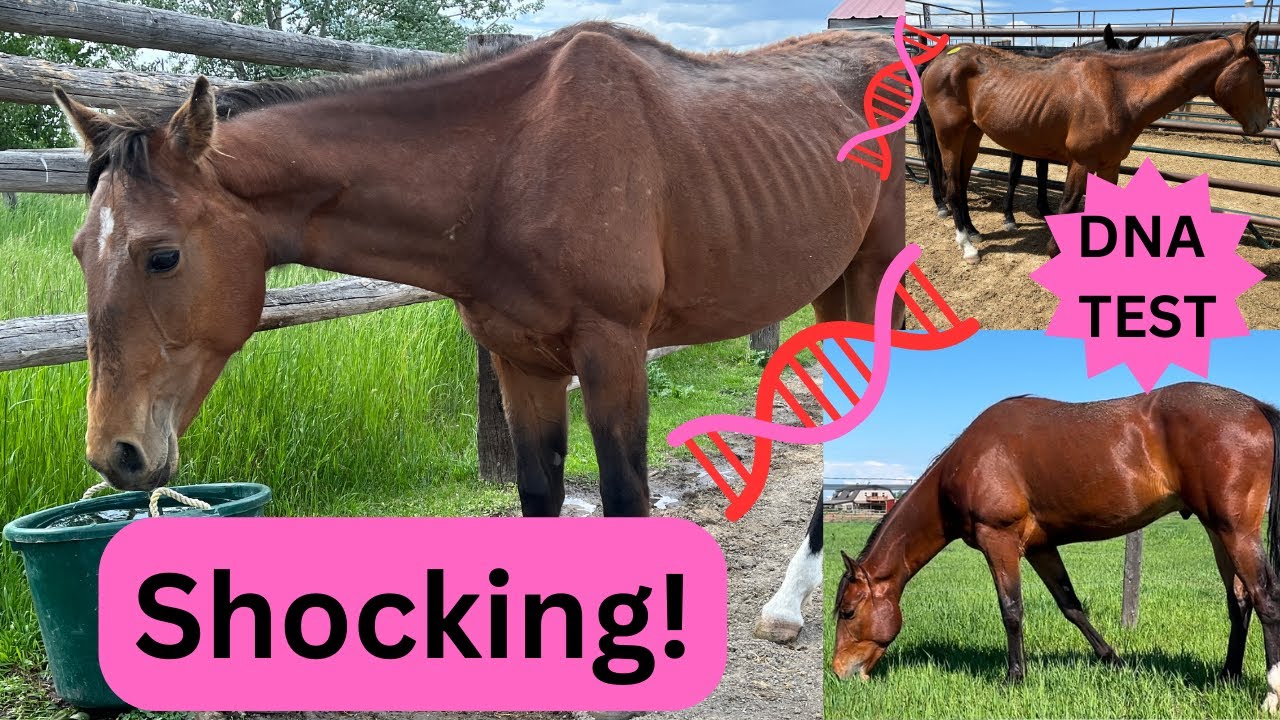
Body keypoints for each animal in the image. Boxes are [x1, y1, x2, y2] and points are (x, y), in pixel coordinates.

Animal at [53, 22, 904, 643]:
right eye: (79, 251)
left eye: (162, 255)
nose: (115, 452)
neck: (510, 163)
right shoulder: (520, 361)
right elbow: (539, 494)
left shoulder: (615, 351)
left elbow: (626, 498)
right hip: (828, 288)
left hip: (872, 278)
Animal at [831, 382, 1280, 712]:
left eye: (848, 611)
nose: (839, 674)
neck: (966, 464)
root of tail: (1255, 407)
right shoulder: (1040, 548)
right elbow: (1071, 606)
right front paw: (1114, 661)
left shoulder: (999, 540)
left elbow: (1011, 611)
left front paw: (1014, 679)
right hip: (1215, 529)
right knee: (1239, 600)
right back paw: (1227, 675)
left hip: (1235, 530)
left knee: (1265, 597)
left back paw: (1270, 694)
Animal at [916, 23, 1268, 263]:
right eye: (1261, 68)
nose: (1264, 122)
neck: (1119, 91)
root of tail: (937, 61)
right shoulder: (1080, 163)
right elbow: (1069, 205)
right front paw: (1055, 251)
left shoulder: (1110, 164)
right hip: (949, 136)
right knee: (951, 186)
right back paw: (967, 246)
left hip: (971, 136)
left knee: (961, 184)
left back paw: (973, 231)